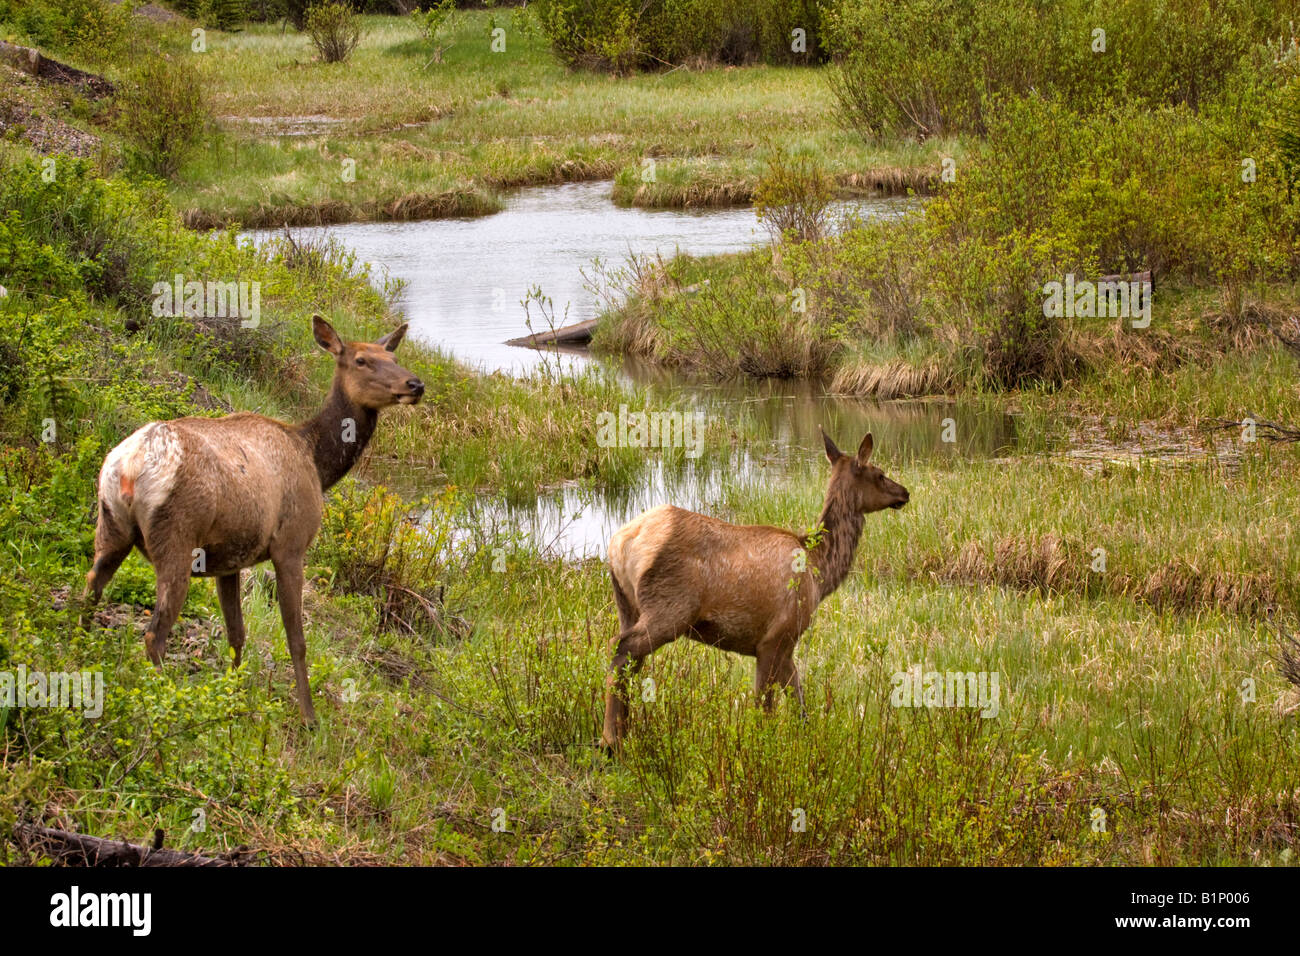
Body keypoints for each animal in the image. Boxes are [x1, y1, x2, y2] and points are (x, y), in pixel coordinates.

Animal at [82, 315, 424, 724]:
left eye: (393, 355)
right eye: (361, 360)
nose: (415, 384)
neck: (315, 462)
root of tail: (132, 464)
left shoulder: (228, 560)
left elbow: (236, 633)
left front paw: (235, 696)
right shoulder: (291, 545)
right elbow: (296, 639)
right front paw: (309, 717)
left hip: (110, 525)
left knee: (89, 590)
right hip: (176, 538)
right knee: (154, 632)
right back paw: (164, 698)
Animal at [601, 429, 909, 751]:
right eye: (880, 474)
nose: (905, 493)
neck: (819, 573)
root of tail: (619, 543)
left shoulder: (786, 644)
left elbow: (799, 703)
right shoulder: (775, 636)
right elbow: (765, 707)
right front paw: (762, 750)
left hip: (627, 605)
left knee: (629, 662)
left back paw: (624, 733)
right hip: (669, 608)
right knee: (620, 648)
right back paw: (611, 740)